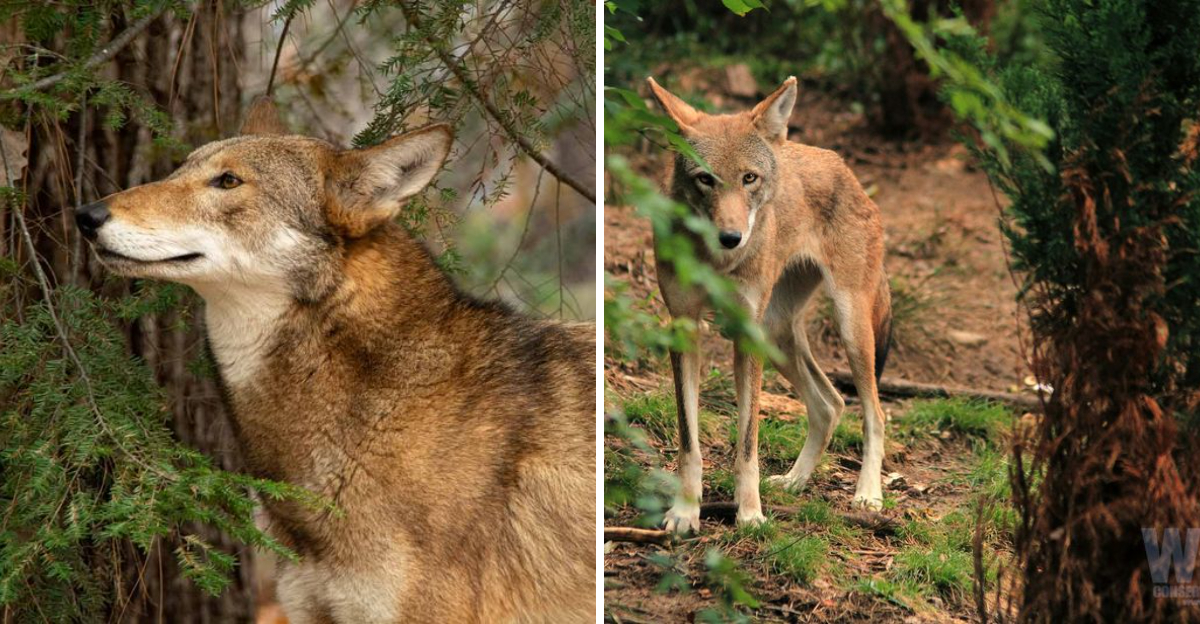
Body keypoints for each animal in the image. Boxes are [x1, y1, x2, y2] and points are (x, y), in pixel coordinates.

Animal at [645, 76, 893, 533]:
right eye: (705, 179)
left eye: (749, 178)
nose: (731, 238)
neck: (718, 262)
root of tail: (845, 168)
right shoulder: (685, 326)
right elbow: (689, 443)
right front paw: (685, 512)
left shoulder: (744, 333)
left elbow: (747, 445)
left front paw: (750, 515)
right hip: (777, 333)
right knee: (830, 405)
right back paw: (795, 481)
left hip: (849, 329)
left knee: (874, 414)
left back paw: (868, 494)